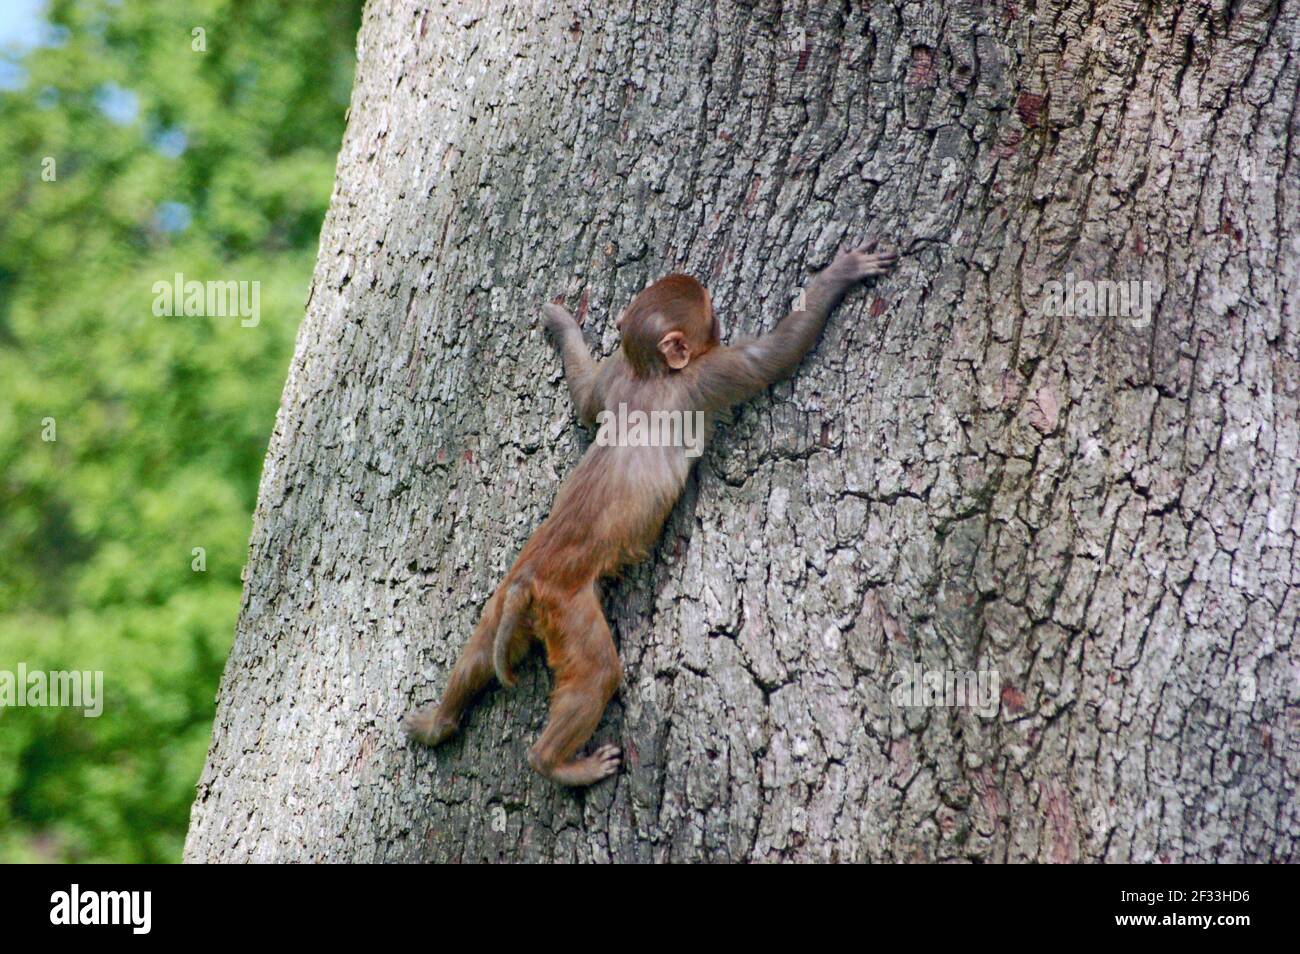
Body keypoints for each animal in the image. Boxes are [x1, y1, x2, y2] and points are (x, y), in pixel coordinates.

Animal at [403, 240, 898, 786]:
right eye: (709, 312)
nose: (719, 316)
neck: (648, 371)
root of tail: (529, 581)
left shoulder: (618, 375)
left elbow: (587, 399)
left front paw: (562, 325)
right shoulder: (706, 378)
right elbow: (775, 356)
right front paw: (843, 273)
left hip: (508, 594)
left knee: (477, 652)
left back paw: (438, 721)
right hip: (567, 606)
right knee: (596, 673)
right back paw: (558, 764)